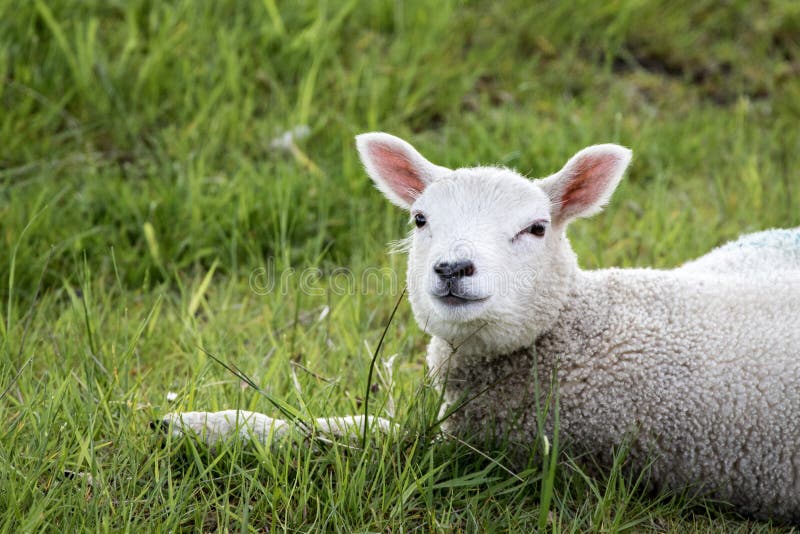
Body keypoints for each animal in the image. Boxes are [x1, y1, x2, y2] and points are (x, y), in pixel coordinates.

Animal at [162, 133, 800, 522]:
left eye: (537, 228)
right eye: (420, 219)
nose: (452, 268)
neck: (573, 327)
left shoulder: (484, 451)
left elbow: (352, 434)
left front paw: (204, 426)